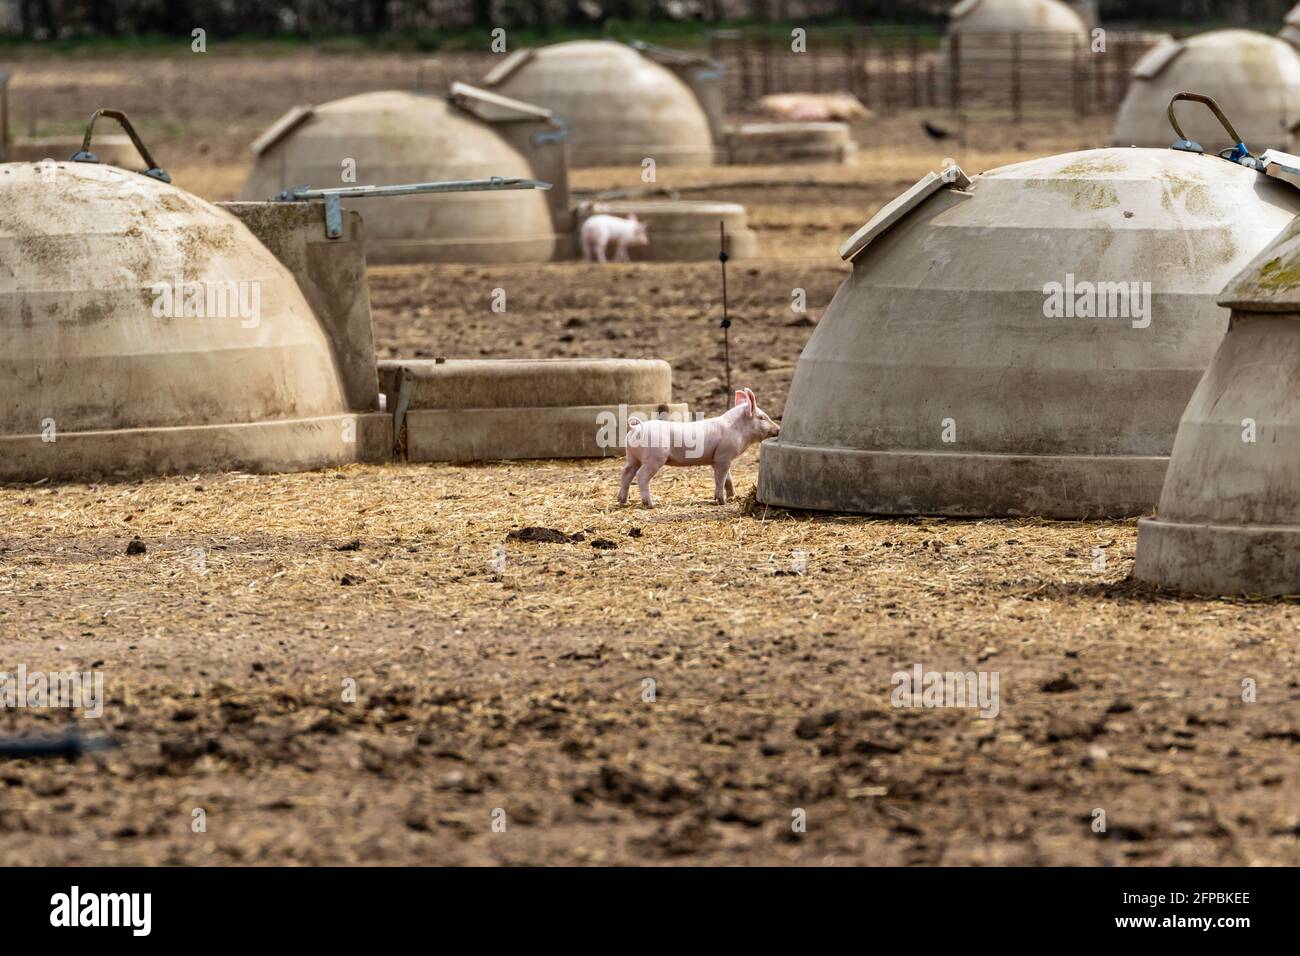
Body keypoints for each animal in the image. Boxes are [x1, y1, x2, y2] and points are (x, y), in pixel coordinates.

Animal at [617, 388, 780, 507]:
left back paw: (622, 501)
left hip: (632, 457)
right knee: (641, 475)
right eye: (762, 417)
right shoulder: (723, 456)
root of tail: (636, 428)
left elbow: (728, 478)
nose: (778, 429)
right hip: (654, 457)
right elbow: (720, 478)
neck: (738, 429)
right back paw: (650, 504)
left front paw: (733, 496)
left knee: (626, 473)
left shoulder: (719, 459)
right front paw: (722, 501)